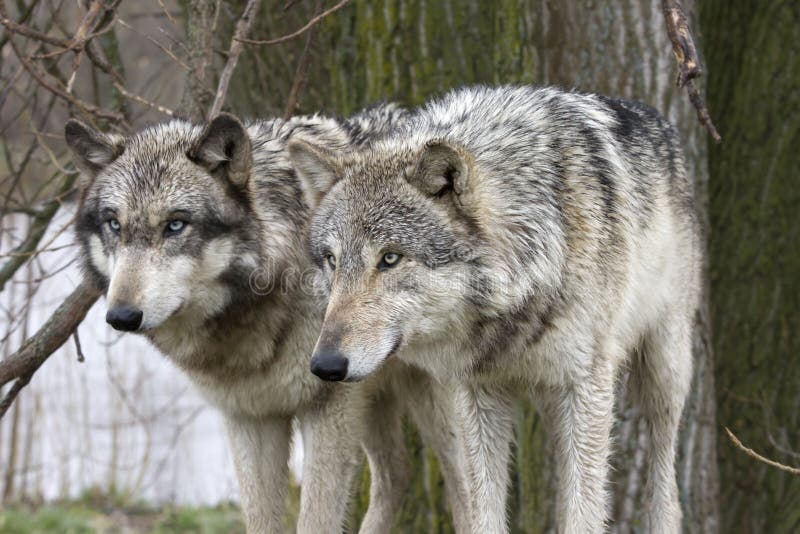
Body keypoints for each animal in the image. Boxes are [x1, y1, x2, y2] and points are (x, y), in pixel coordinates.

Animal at [65, 106, 470, 533]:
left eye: (175, 225)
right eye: (114, 224)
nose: (121, 316)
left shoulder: (328, 409)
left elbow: (315, 520)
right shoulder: (250, 418)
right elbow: (260, 519)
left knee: (462, 486)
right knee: (397, 475)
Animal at [289, 85, 701, 534]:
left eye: (390, 258)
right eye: (332, 260)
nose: (325, 365)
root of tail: (658, 120)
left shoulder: (586, 386)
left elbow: (585, 513)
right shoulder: (477, 396)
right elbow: (485, 511)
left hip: (661, 375)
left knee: (665, 484)